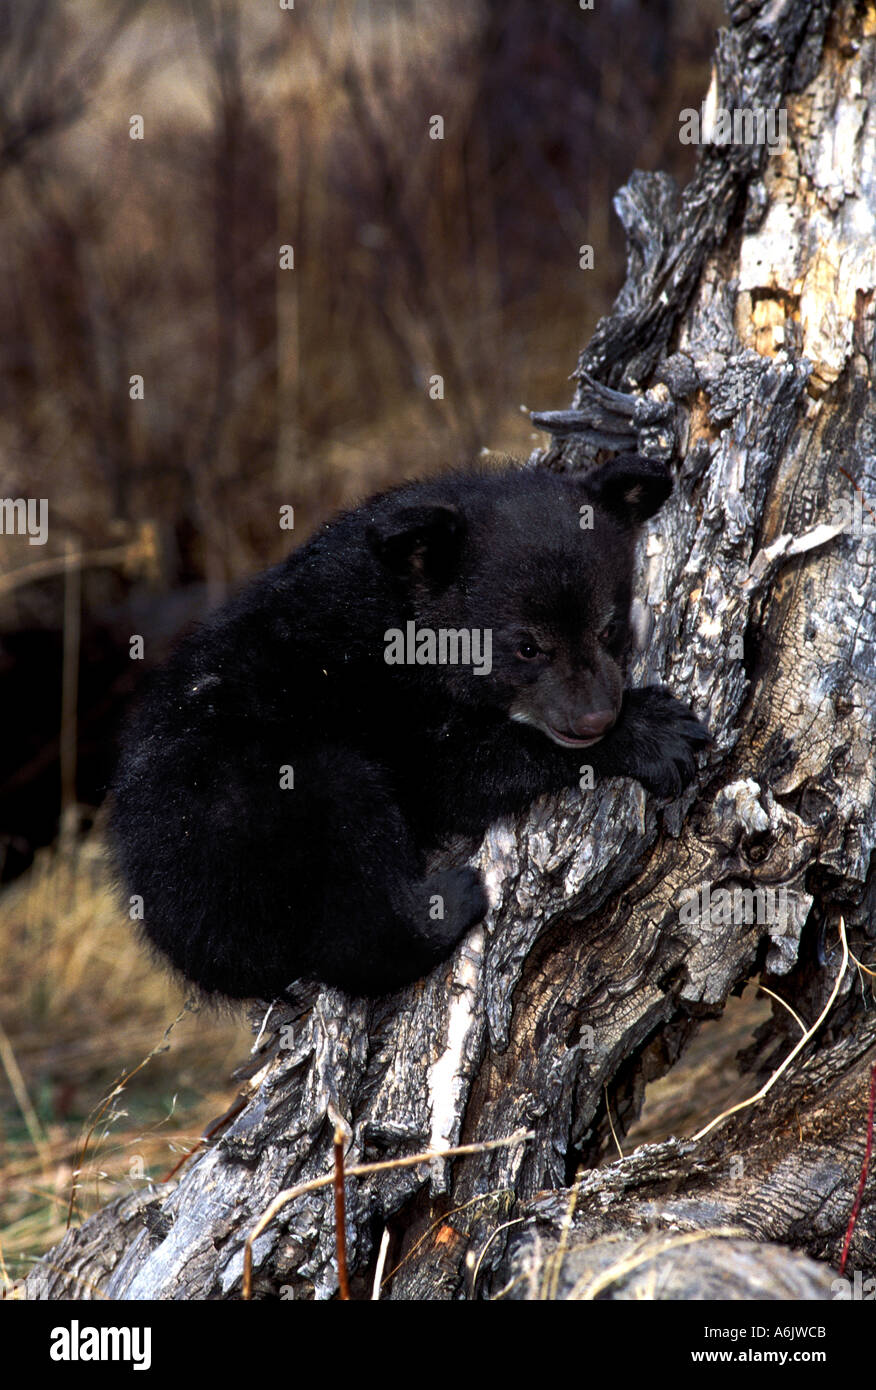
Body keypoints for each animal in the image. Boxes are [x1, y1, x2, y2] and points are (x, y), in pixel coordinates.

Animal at [109, 456, 710, 1000]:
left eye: (609, 628)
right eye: (527, 646)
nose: (594, 718)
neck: (408, 623)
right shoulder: (390, 701)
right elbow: (458, 774)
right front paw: (653, 732)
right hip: (263, 805)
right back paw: (448, 904)